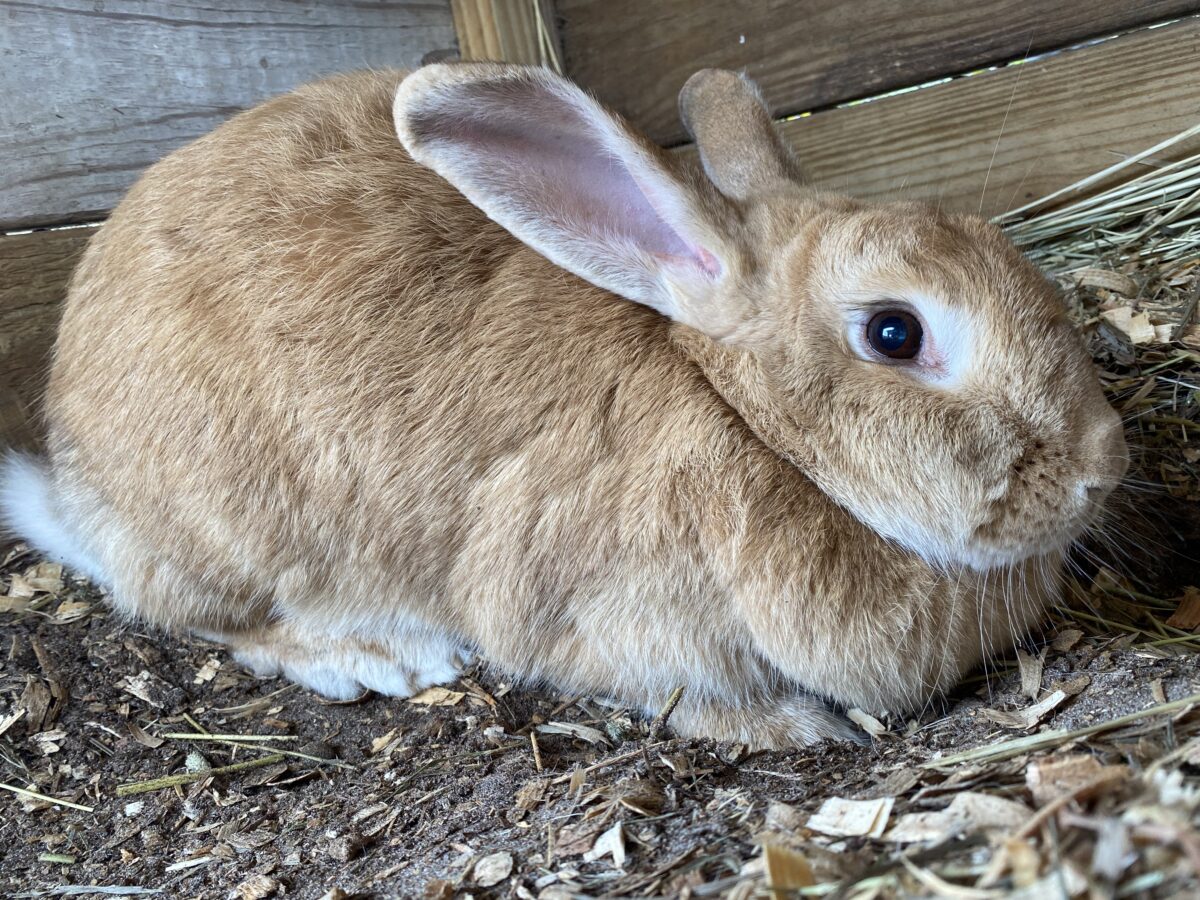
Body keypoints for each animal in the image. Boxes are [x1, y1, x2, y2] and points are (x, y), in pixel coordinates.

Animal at [0, 63, 1127, 748]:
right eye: (895, 333)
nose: (1103, 464)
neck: (746, 421)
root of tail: (78, 485)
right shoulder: (608, 622)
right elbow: (679, 696)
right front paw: (800, 728)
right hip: (236, 532)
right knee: (200, 614)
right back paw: (375, 655)